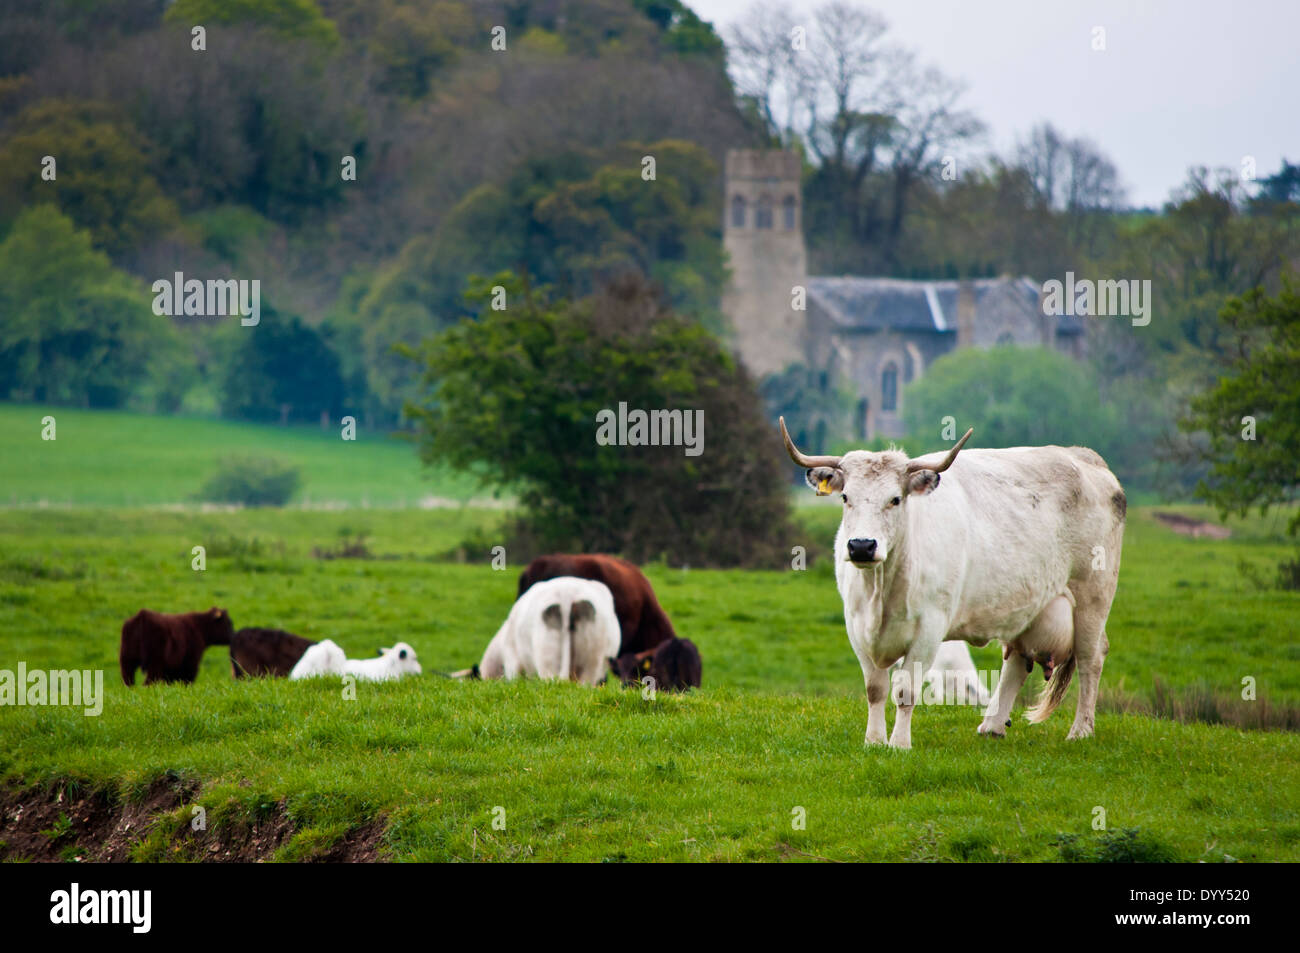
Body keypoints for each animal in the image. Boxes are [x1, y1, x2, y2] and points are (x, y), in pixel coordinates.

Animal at [780, 416, 1124, 749]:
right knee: (1017, 660)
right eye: (845, 497)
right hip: (1031, 607)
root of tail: (1082, 456)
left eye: (895, 499)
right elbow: (875, 689)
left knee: (1091, 658)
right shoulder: (856, 626)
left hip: (1093, 598)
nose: (862, 546)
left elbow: (906, 690)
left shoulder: (929, 630)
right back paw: (992, 726)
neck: (882, 593)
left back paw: (1080, 731)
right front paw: (874, 741)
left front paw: (899, 744)